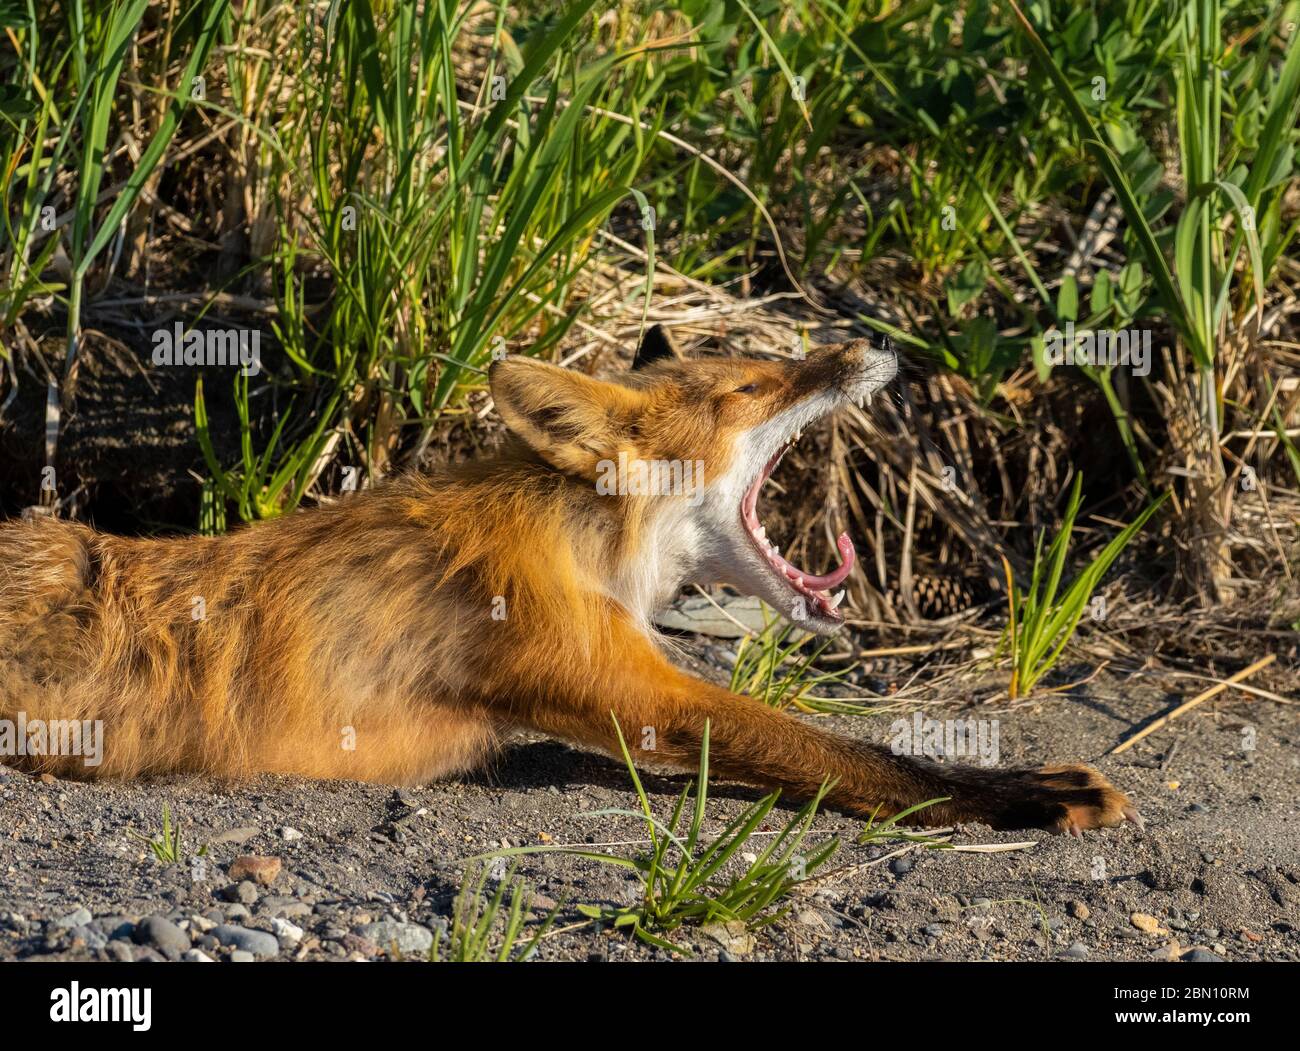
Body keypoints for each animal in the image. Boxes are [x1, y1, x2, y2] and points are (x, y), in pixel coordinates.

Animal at [0, 327, 1140, 834]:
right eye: (750, 387)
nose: (873, 347)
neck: (568, 542)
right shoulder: (624, 685)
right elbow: (849, 754)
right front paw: (1022, 795)